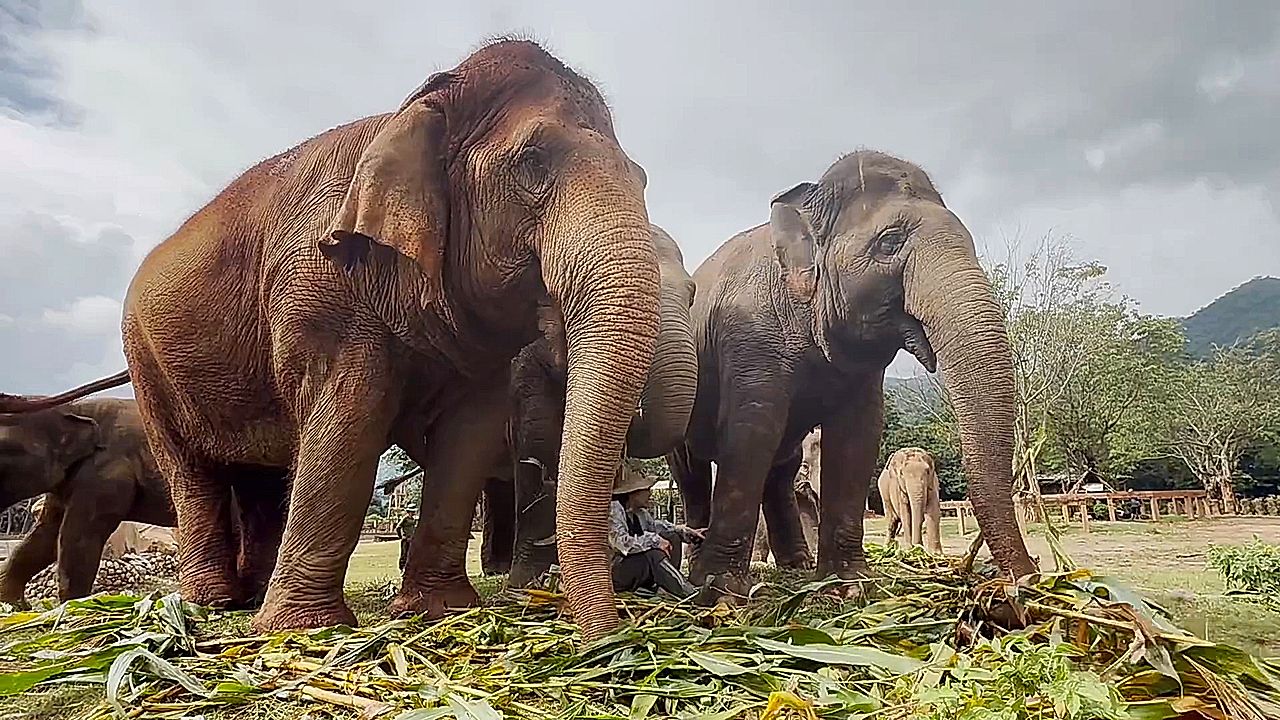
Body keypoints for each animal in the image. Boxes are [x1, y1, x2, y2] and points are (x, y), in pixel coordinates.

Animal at [0, 398, 174, 606]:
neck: (71, 408)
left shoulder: (105, 475)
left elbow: (78, 536)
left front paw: (74, 606)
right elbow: (44, 536)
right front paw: (13, 604)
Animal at [669, 150, 1037, 601]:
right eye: (890, 243)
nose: (1025, 583)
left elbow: (857, 435)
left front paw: (848, 587)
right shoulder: (749, 336)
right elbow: (752, 428)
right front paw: (719, 591)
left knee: (781, 466)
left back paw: (796, 567)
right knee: (692, 471)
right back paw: (696, 571)